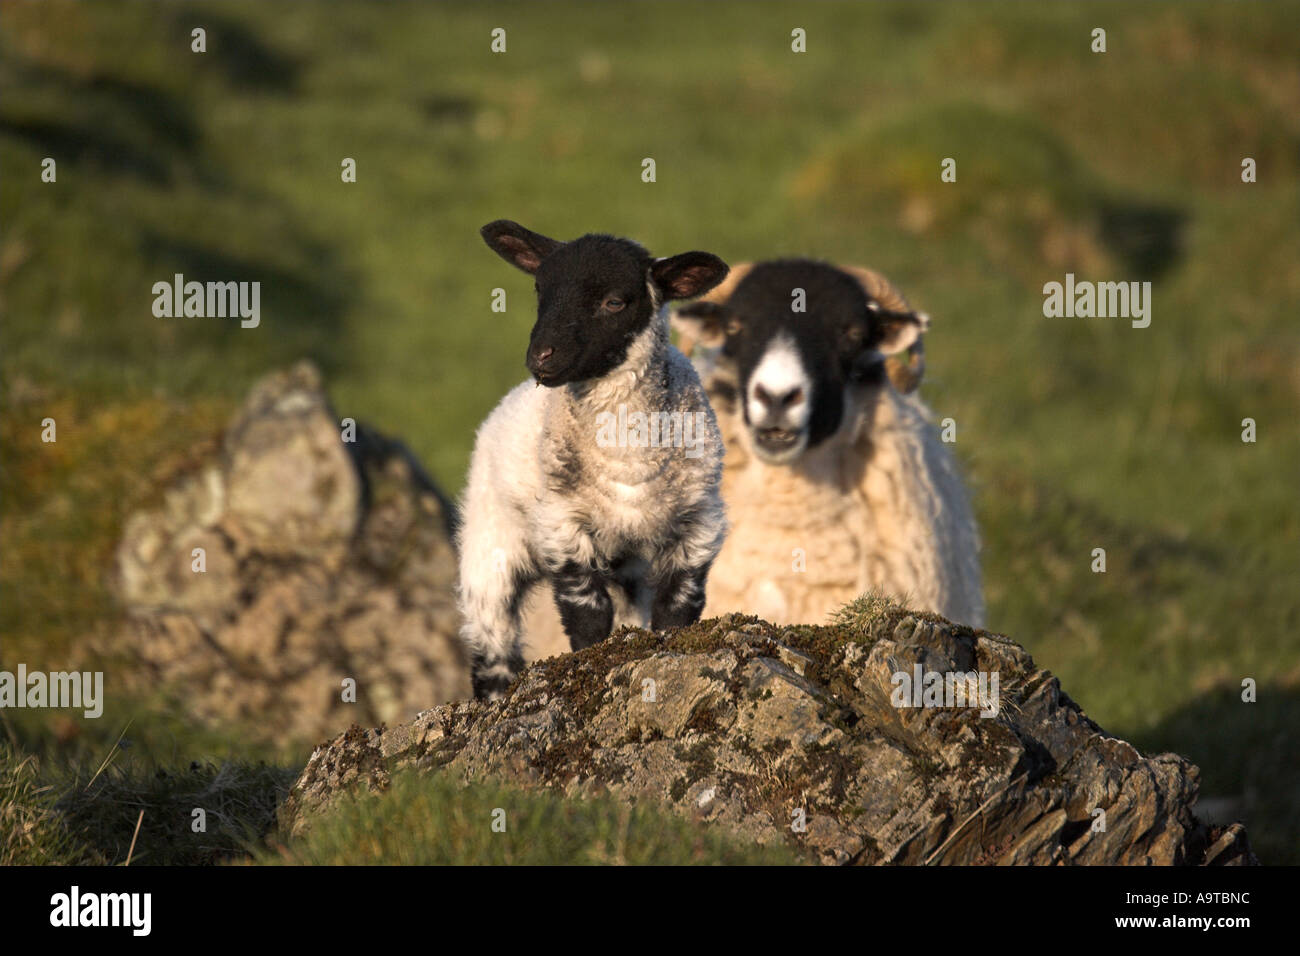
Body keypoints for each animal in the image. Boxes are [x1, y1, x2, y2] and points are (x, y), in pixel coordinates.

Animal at [457, 220, 730, 699]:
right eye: (540, 289)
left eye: (614, 301)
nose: (541, 357)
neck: (627, 456)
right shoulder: (561, 523)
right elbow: (587, 613)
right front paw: (585, 661)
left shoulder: (700, 523)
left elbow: (677, 608)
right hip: (490, 540)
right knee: (492, 639)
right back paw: (494, 696)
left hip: (628, 563)